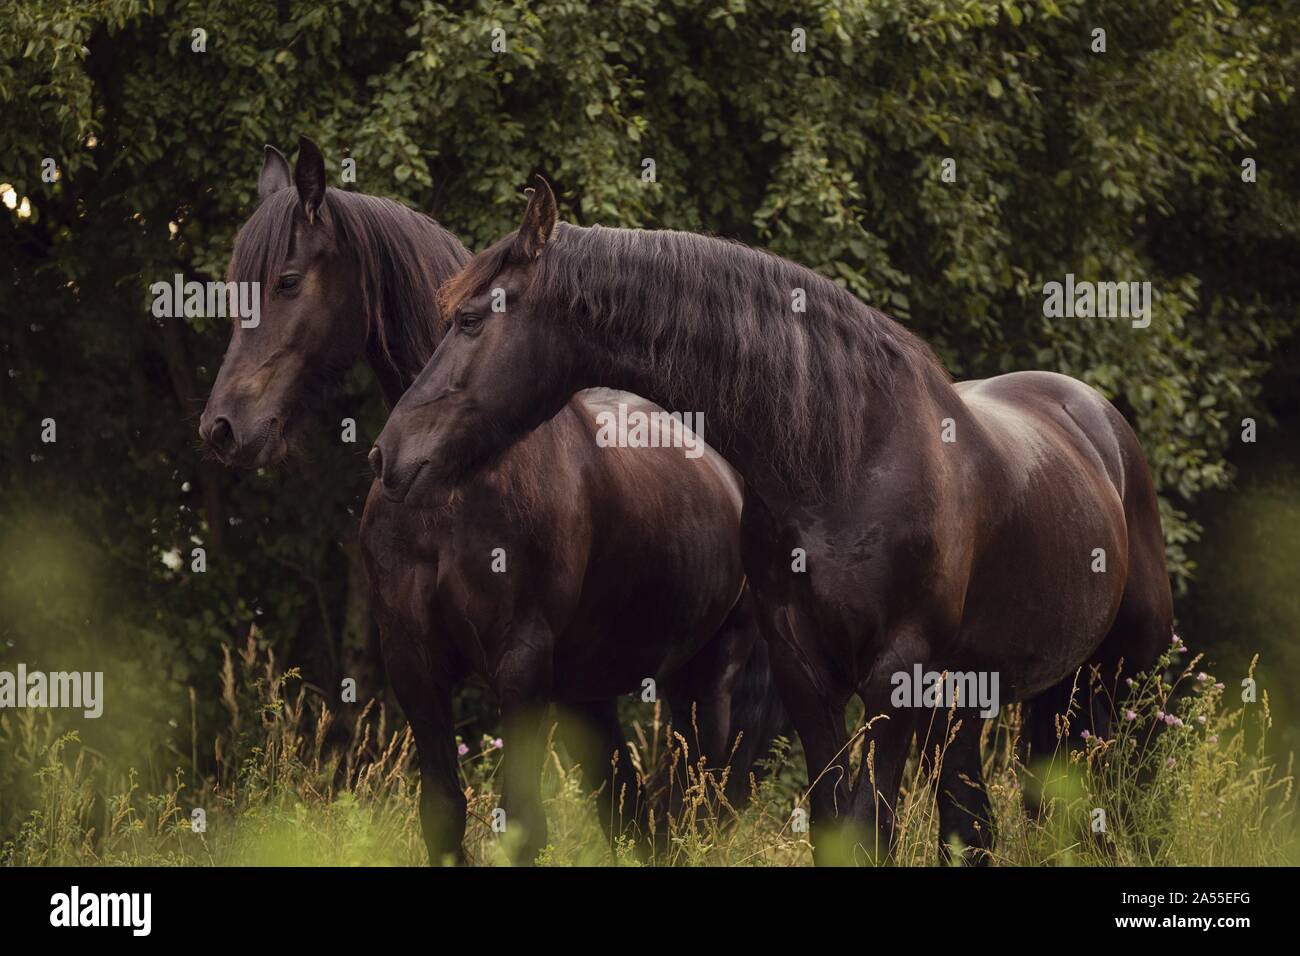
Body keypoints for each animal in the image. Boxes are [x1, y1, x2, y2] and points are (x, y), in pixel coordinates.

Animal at [198, 142, 785, 864]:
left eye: (286, 280)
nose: (223, 428)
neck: (451, 488)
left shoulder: (520, 665)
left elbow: (523, 826)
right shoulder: (415, 665)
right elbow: (444, 814)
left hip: (716, 682)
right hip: (602, 691)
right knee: (636, 814)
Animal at [370, 177, 1174, 865]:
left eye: (469, 319)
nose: (387, 454)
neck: (847, 456)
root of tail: (1099, 421)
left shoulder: (897, 673)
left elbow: (871, 829)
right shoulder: (803, 669)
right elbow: (834, 827)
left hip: (1125, 682)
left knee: (1126, 806)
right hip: (976, 703)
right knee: (974, 825)